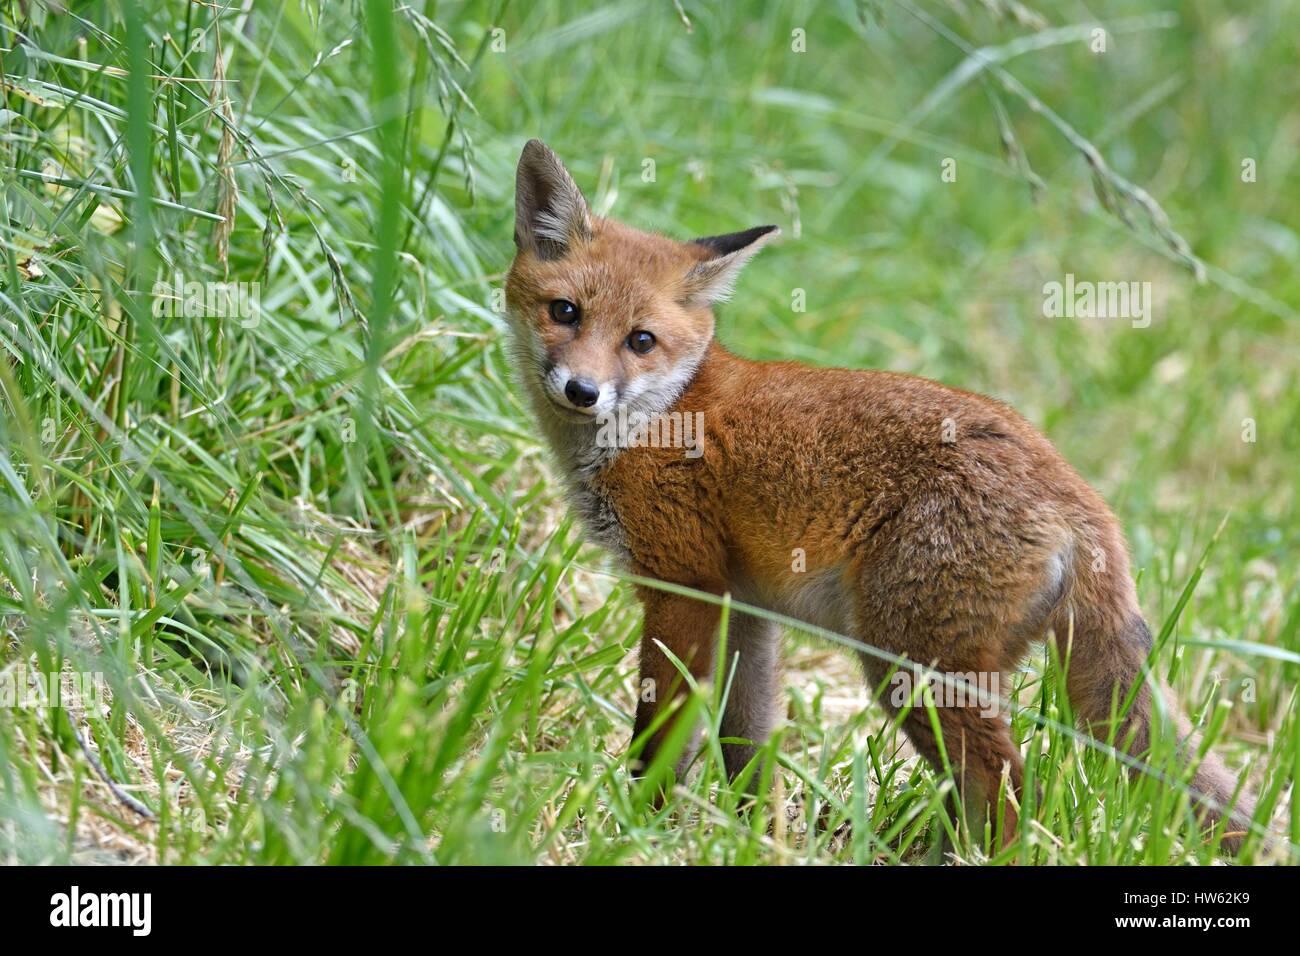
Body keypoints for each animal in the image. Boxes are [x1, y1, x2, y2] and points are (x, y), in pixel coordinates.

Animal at [504, 138, 1256, 851]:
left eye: (641, 341)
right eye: (565, 312)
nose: (582, 390)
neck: (662, 415)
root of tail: (1079, 494)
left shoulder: (683, 587)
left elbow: (660, 740)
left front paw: (637, 827)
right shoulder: (746, 608)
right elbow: (749, 751)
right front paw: (760, 841)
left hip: (911, 667)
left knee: (1014, 794)